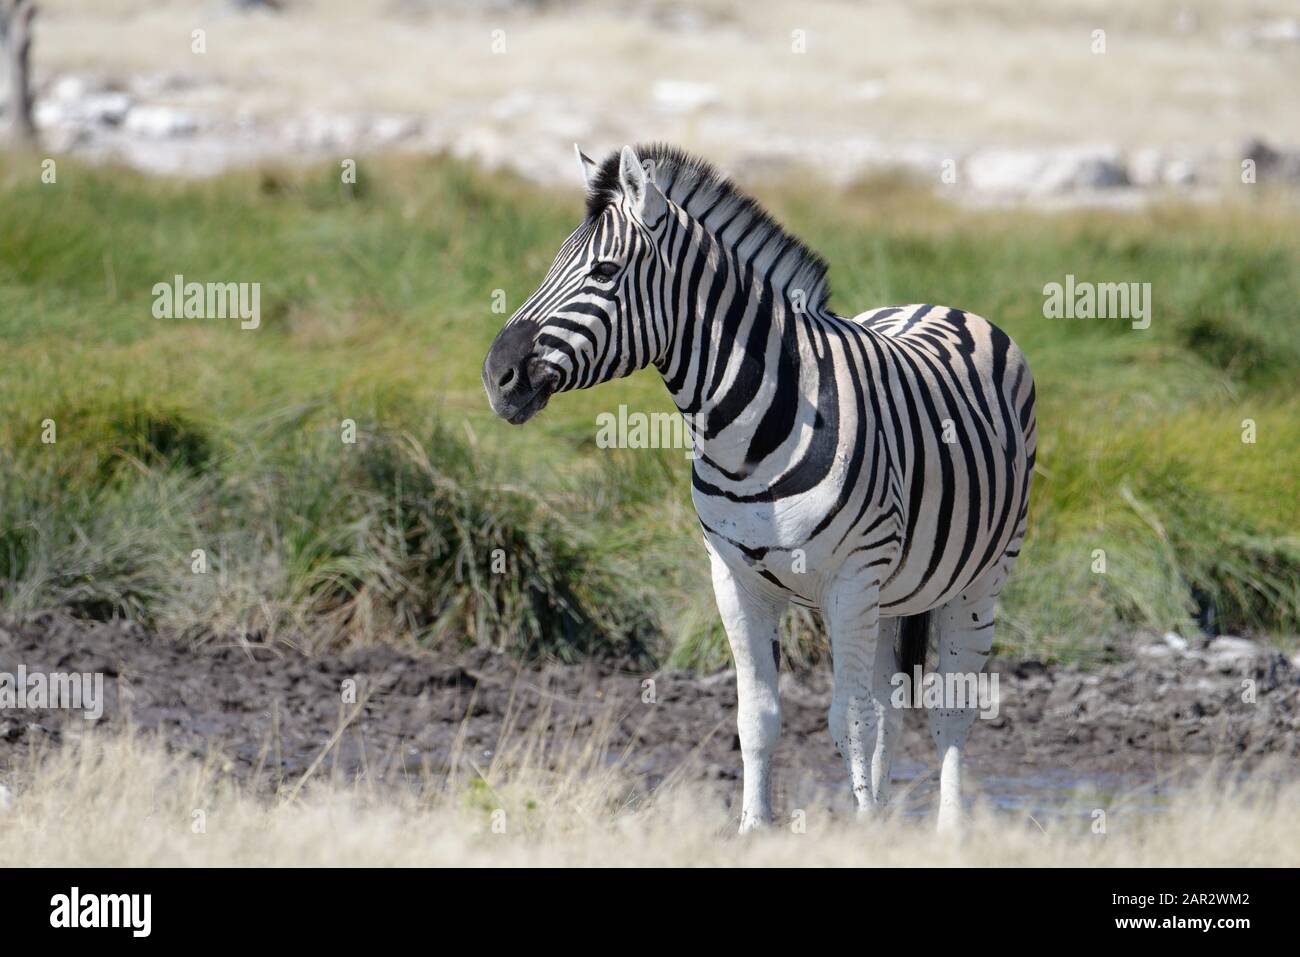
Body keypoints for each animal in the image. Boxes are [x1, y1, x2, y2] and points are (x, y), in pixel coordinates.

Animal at [482, 144, 1036, 834]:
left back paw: (949, 833)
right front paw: (757, 830)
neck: (747, 435)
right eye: (554, 264)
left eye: (606, 271)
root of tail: (938, 306)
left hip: (980, 577)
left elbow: (850, 719)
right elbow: (760, 718)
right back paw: (886, 816)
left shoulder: (850, 578)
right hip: (889, 592)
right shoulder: (735, 577)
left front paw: (860, 836)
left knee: (947, 711)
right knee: (888, 703)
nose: (496, 377)